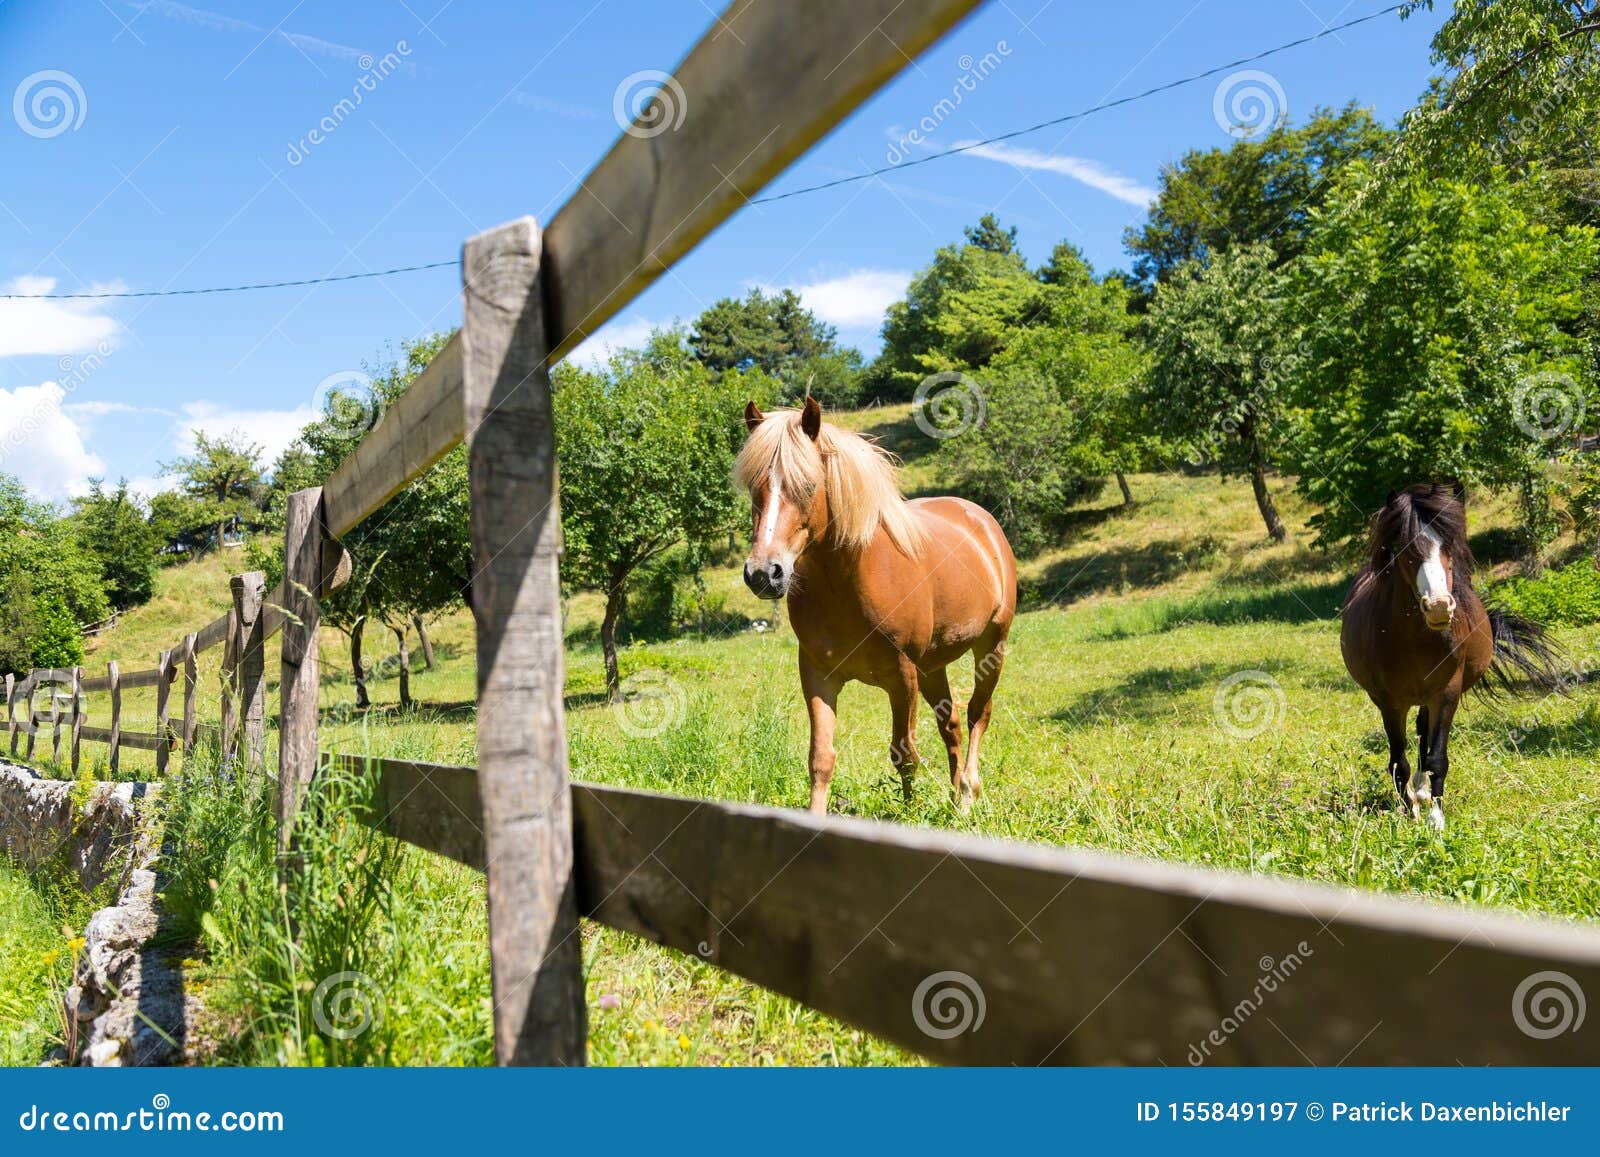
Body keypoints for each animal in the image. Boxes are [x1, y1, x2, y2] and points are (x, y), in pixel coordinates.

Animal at [735, 398, 1017, 814]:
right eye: (754, 488)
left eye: (807, 485)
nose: (762, 573)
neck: (847, 584)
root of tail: (983, 521)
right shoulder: (818, 675)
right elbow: (820, 758)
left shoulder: (901, 677)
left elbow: (905, 754)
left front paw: (911, 813)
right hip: (932, 666)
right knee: (949, 723)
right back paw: (953, 798)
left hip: (991, 646)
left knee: (976, 714)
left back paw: (967, 794)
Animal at [1340, 483, 1564, 830]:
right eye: (1405, 548)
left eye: (1450, 546)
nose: (1438, 607)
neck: (1415, 639)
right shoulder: (1389, 702)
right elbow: (1398, 762)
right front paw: (1410, 813)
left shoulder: (1446, 694)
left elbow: (1437, 757)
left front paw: (1436, 818)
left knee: (1424, 733)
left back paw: (1422, 791)